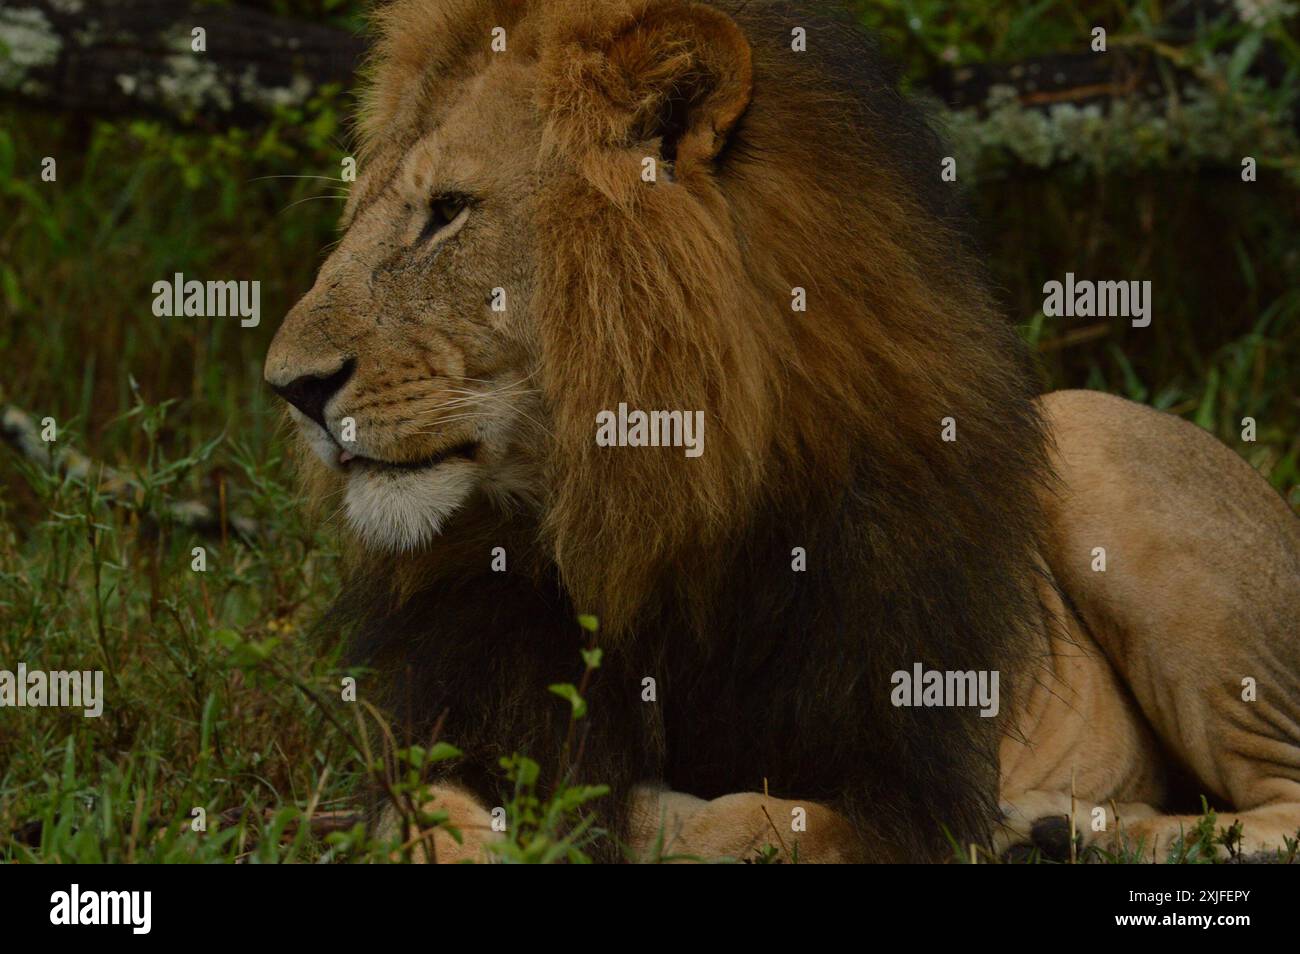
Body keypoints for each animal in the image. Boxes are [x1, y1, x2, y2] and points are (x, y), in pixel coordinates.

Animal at [263, 0, 1300, 862]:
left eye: (447, 213)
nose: (290, 389)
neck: (637, 516)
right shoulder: (446, 727)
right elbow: (427, 814)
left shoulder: (912, 793)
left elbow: (739, 821)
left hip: (1103, 450)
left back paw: (1072, 829)